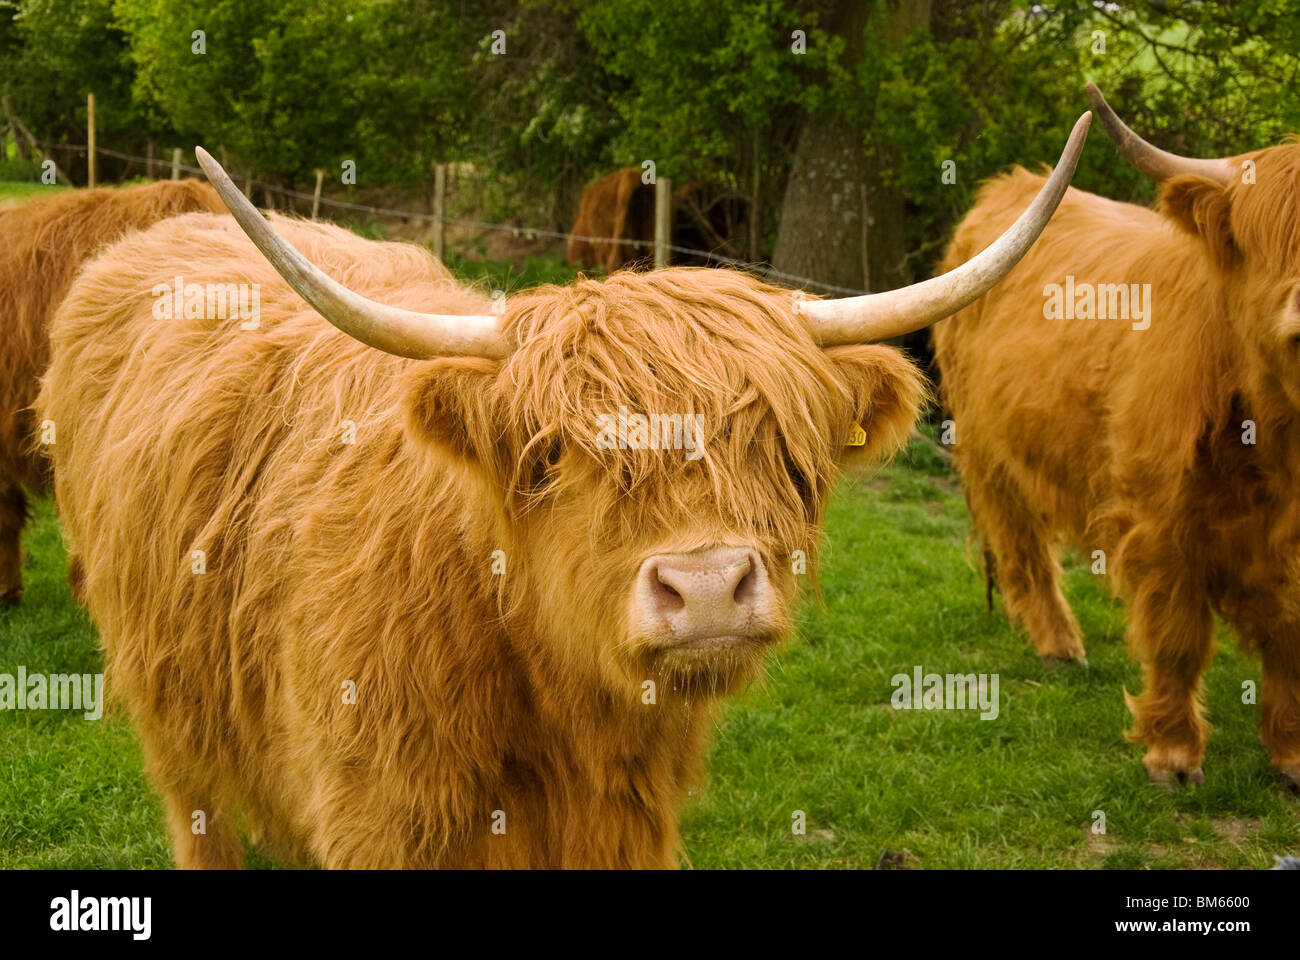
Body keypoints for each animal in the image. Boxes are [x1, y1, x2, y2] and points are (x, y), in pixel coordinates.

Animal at [932, 85, 1300, 790]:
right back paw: (1058, 645)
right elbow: (1177, 636)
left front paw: (1292, 755)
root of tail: (1010, 185)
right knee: (1022, 545)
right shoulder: (1161, 521)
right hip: (988, 450)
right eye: (1258, 238)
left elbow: (1290, 637)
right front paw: (1174, 755)